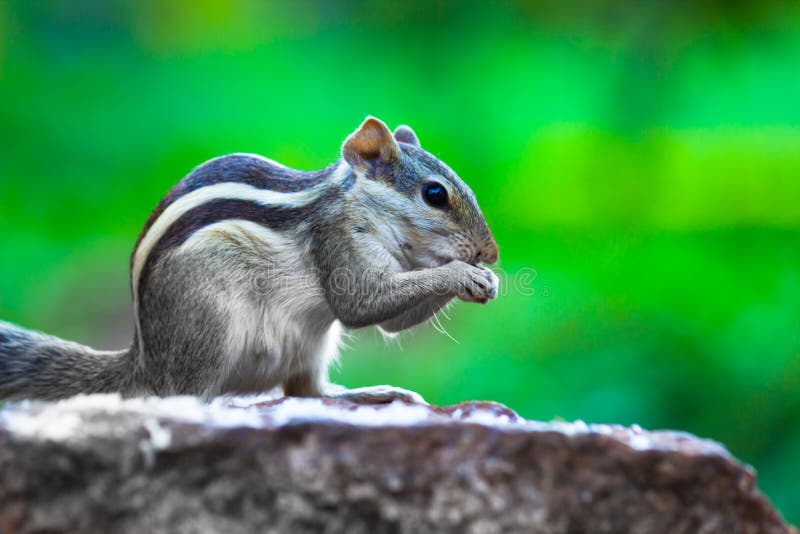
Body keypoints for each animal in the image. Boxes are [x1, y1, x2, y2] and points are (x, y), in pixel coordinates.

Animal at [0, 117, 499, 403]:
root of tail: (145, 363)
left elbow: (390, 322)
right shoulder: (337, 241)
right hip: (208, 327)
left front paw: (484, 280)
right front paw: (463, 274)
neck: (357, 206)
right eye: (434, 194)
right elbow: (361, 303)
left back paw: (367, 394)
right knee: (184, 396)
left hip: (310, 347)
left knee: (307, 392)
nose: (490, 253)